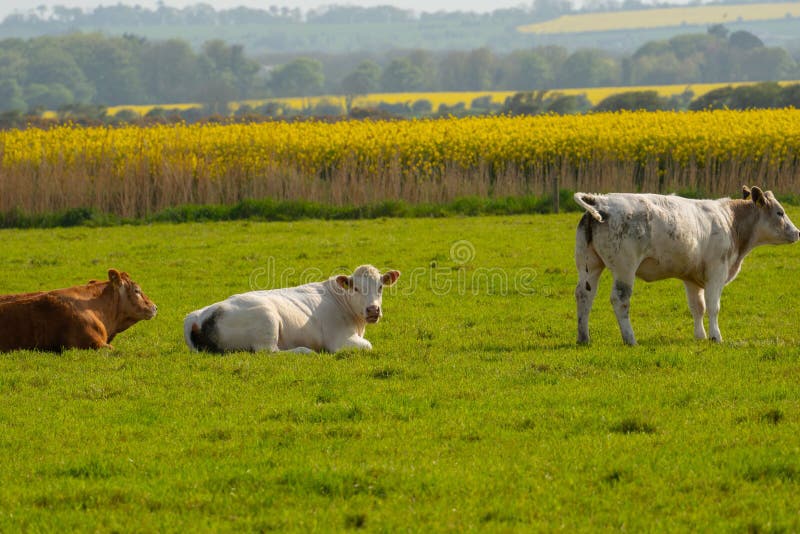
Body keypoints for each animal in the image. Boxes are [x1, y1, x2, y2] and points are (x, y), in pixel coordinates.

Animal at [184, 264, 401, 354]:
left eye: (380, 287)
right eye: (356, 288)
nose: (373, 310)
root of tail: (199, 316)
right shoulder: (340, 341)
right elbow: (368, 346)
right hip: (267, 318)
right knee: (268, 352)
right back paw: (304, 351)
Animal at [573, 186, 799, 345]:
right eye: (780, 213)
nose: (797, 232)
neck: (730, 221)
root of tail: (601, 201)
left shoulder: (691, 278)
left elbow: (697, 307)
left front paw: (700, 336)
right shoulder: (717, 271)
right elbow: (713, 306)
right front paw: (716, 337)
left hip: (589, 265)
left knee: (585, 295)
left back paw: (584, 338)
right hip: (625, 268)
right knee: (620, 299)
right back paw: (630, 339)